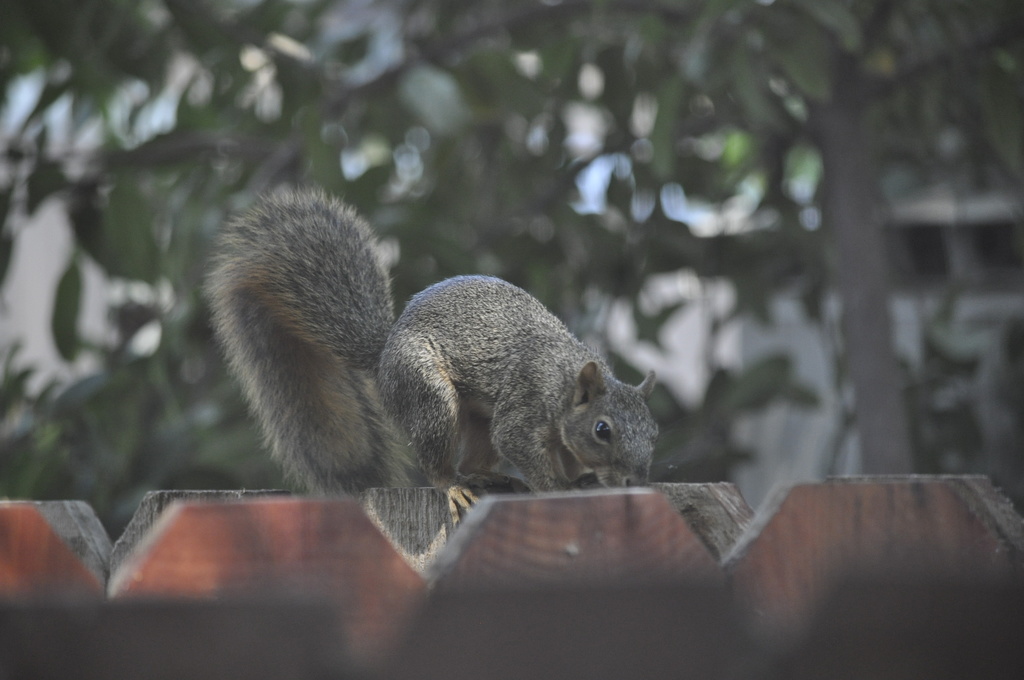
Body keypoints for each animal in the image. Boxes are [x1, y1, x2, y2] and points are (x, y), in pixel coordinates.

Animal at [205, 189, 658, 519]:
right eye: (603, 429)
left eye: (654, 433)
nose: (635, 481)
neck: (564, 383)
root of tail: (383, 356)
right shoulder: (525, 407)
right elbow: (521, 446)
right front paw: (559, 489)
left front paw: (582, 481)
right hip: (428, 392)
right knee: (439, 461)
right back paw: (453, 487)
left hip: (476, 416)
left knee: (474, 457)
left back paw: (490, 478)